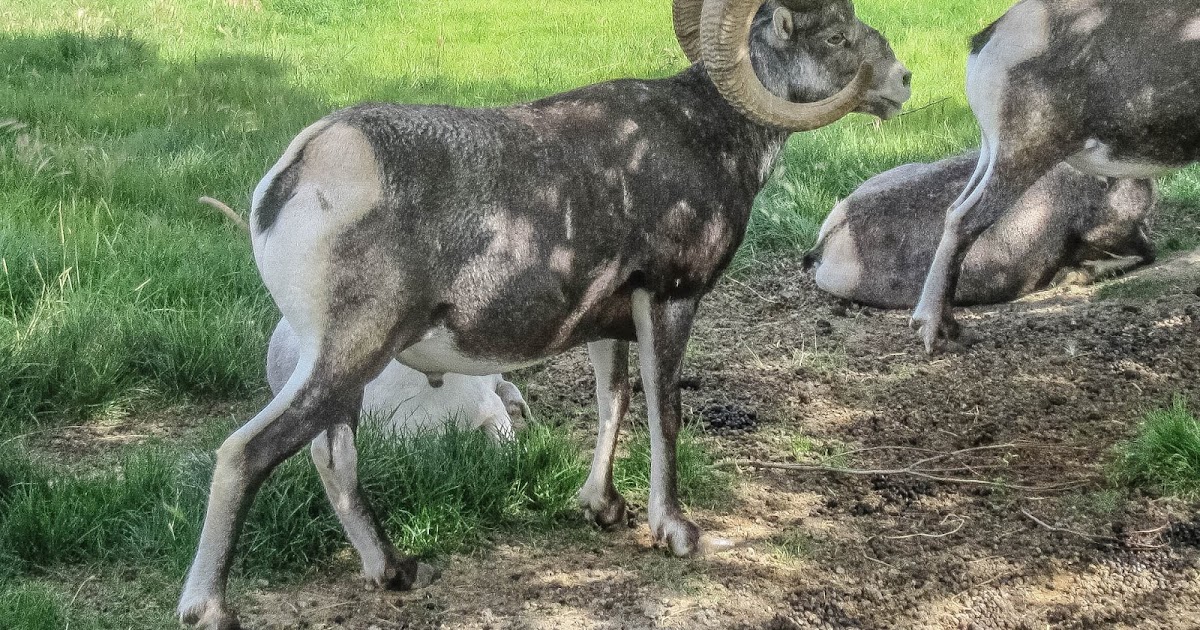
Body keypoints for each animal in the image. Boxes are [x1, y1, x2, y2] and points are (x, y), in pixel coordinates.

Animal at [909, 0, 1200, 353]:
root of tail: (988, 39)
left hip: (992, 152)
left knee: (954, 210)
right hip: (1025, 152)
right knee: (964, 219)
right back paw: (937, 331)